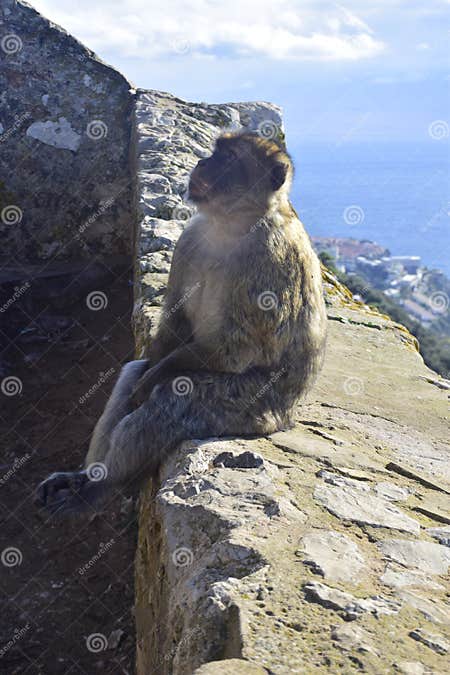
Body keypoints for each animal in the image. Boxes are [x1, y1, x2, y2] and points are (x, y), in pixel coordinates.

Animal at [36, 131, 327, 515]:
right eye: (216, 149)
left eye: (229, 157)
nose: (204, 162)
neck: (231, 222)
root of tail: (285, 417)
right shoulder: (190, 238)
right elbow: (175, 323)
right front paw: (146, 374)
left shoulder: (267, 257)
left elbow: (236, 350)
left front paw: (154, 380)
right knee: (133, 373)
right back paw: (85, 478)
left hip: (247, 406)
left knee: (177, 397)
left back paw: (101, 488)